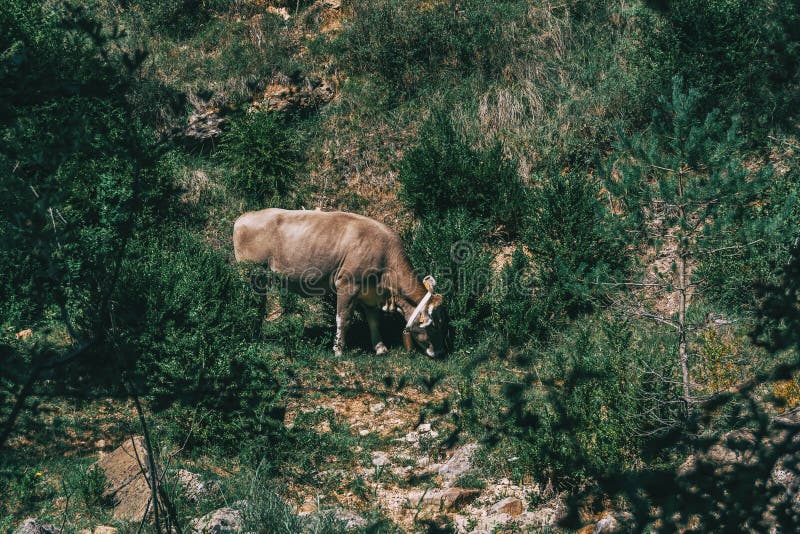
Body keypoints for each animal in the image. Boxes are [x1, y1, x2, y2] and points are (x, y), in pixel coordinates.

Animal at [233, 208, 445, 357]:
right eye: (434, 326)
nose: (440, 352)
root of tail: (245, 217)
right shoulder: (347, 284)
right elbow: (343, 318)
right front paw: (339, 350)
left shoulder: (370, 292)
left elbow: (373, 320)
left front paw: (380, 348)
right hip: (249, 273)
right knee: (247, 303)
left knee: (258, 305)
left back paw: (257, 333)